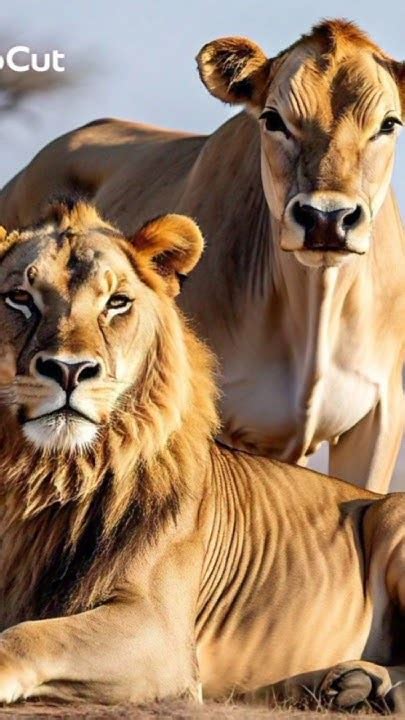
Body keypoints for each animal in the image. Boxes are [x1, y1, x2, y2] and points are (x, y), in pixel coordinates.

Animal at [0, 198, 405, 711]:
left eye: (117, 303)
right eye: (19, 298)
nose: (69, 370)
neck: (48, 473)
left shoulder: (160, 633)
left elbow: (28, 636)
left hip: (391, 515)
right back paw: (340, 683)